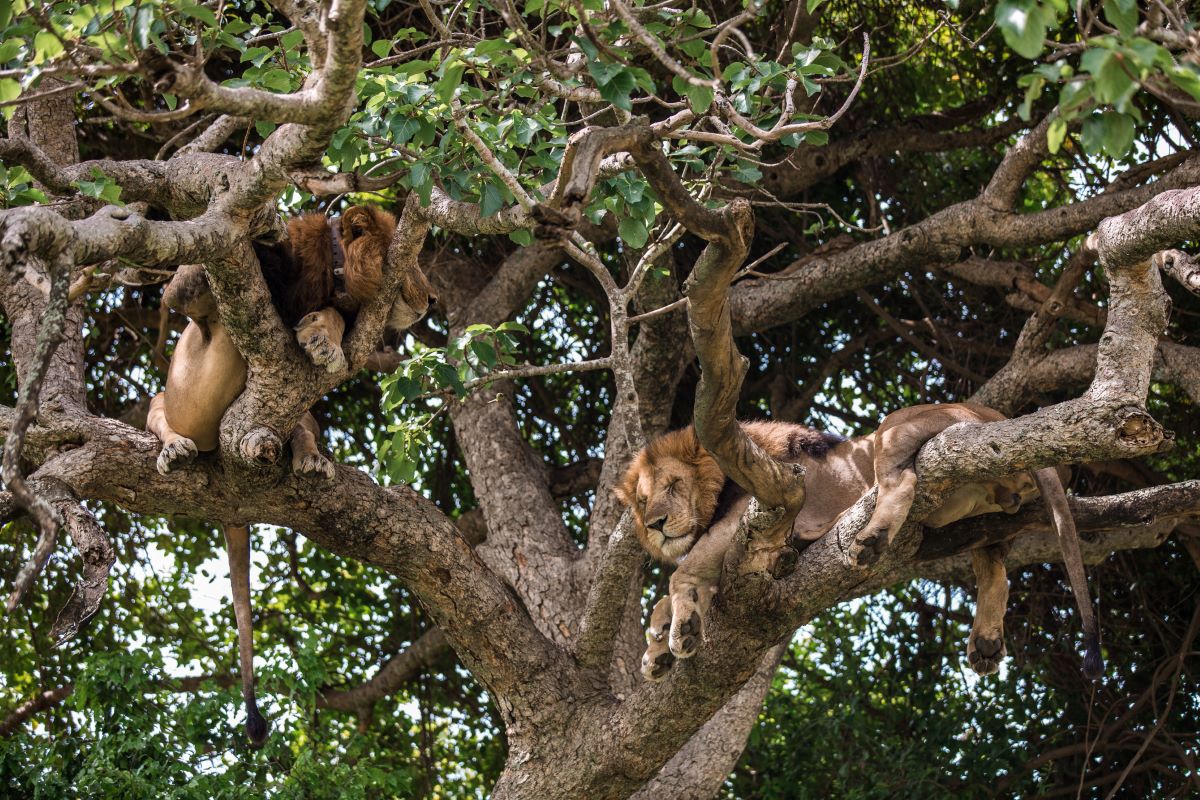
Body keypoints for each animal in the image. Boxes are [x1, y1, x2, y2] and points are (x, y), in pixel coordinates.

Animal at [146, 206, 434, 745]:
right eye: (408, 259)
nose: (431, 301)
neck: (331, 279)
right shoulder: (189, 297)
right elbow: (189, 282)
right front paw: (263, 226)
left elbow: (331, 323)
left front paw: (322, 336)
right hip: (167, 400)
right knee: (161, 412)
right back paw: (174, 449)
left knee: (301, 423)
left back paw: (309, 458)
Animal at [616, 404, 1101, 683]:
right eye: (642, 500)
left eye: (674, 485)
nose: (656, 523)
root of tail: (1001, 418)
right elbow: (669, 594)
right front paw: (657, 647)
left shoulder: (757, 511)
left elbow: (680, 576)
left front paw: (680, 631)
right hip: (985, 516)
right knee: (994, 565)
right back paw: (984, 641)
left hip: (894, 428)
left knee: (901, 482)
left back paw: (869, 538)